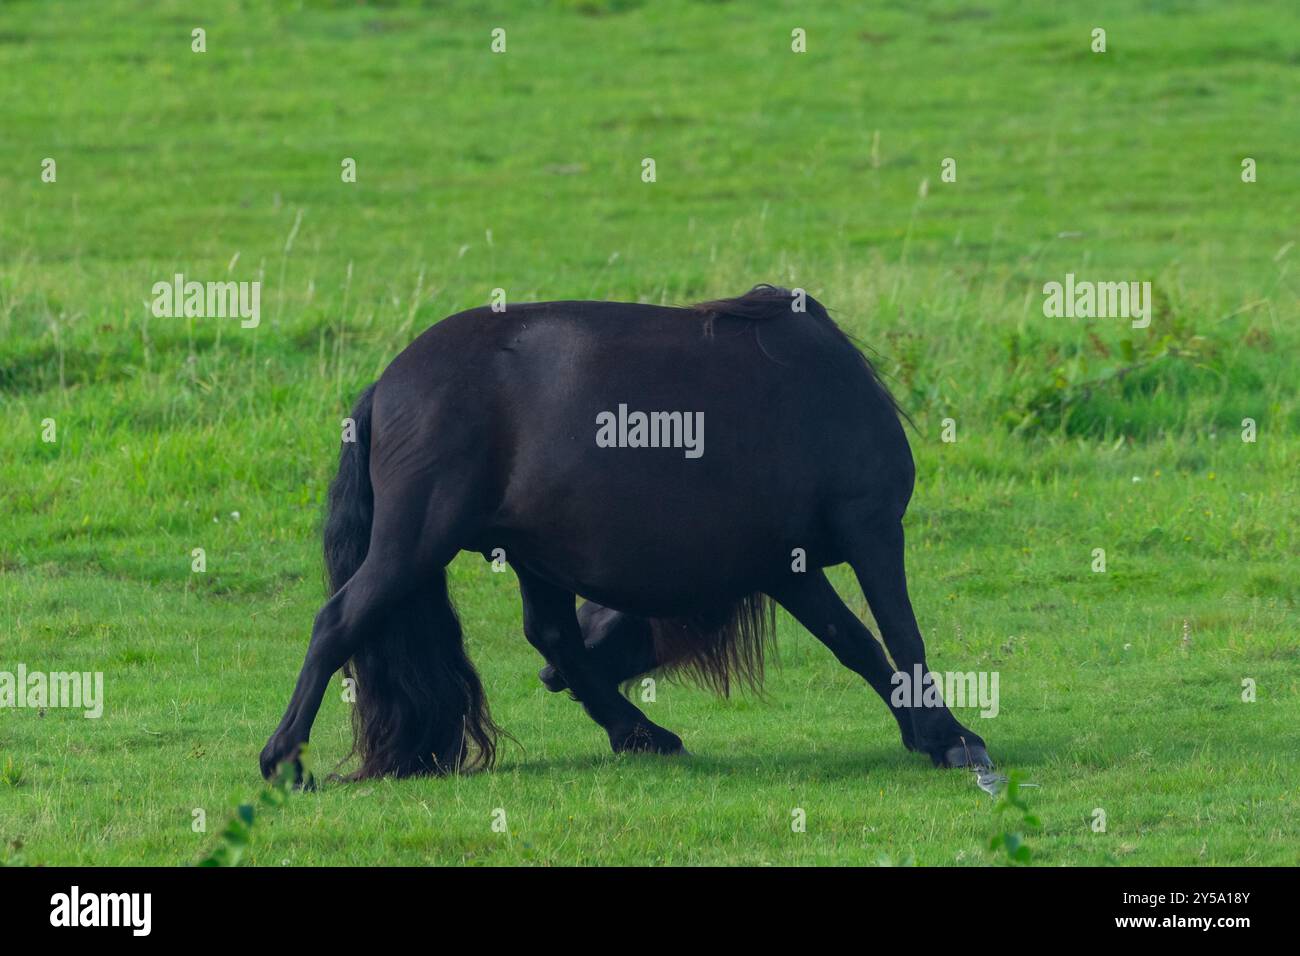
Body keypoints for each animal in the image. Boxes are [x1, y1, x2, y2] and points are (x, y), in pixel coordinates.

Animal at [259, 285, 993, 780]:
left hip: (529, 557)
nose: (545, 682)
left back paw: (638, 732)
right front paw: (949, 735)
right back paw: (283, 758)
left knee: (550, 634)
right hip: (415, 544)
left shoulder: (787, 569)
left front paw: (922, 733)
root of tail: (387, 383)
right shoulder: (872, 530)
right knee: (338, 621)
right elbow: (900, 633)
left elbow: (856, 643)